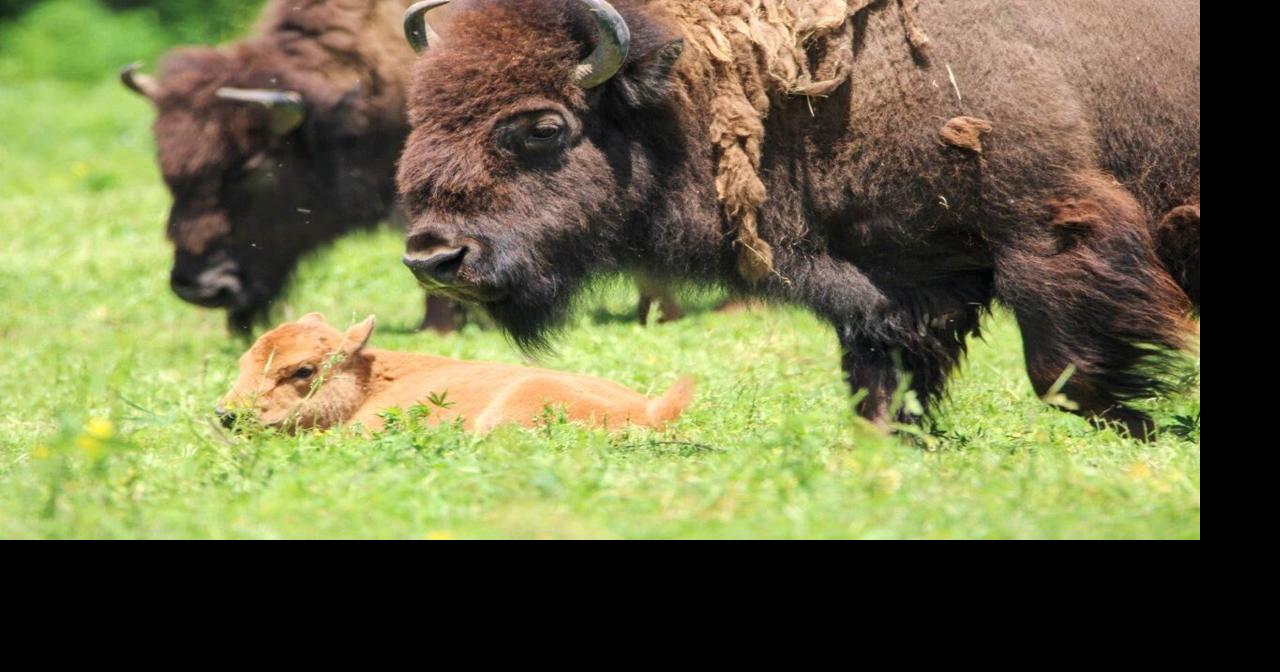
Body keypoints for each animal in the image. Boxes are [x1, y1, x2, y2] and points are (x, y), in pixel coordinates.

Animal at [394, 0, 1200, 439]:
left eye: (543, 128)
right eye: (421, 113)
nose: (435, 258)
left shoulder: (1047, 224)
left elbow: (1063, 370)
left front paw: (1144, 425)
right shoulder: (886, 281)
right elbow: (879, 380)